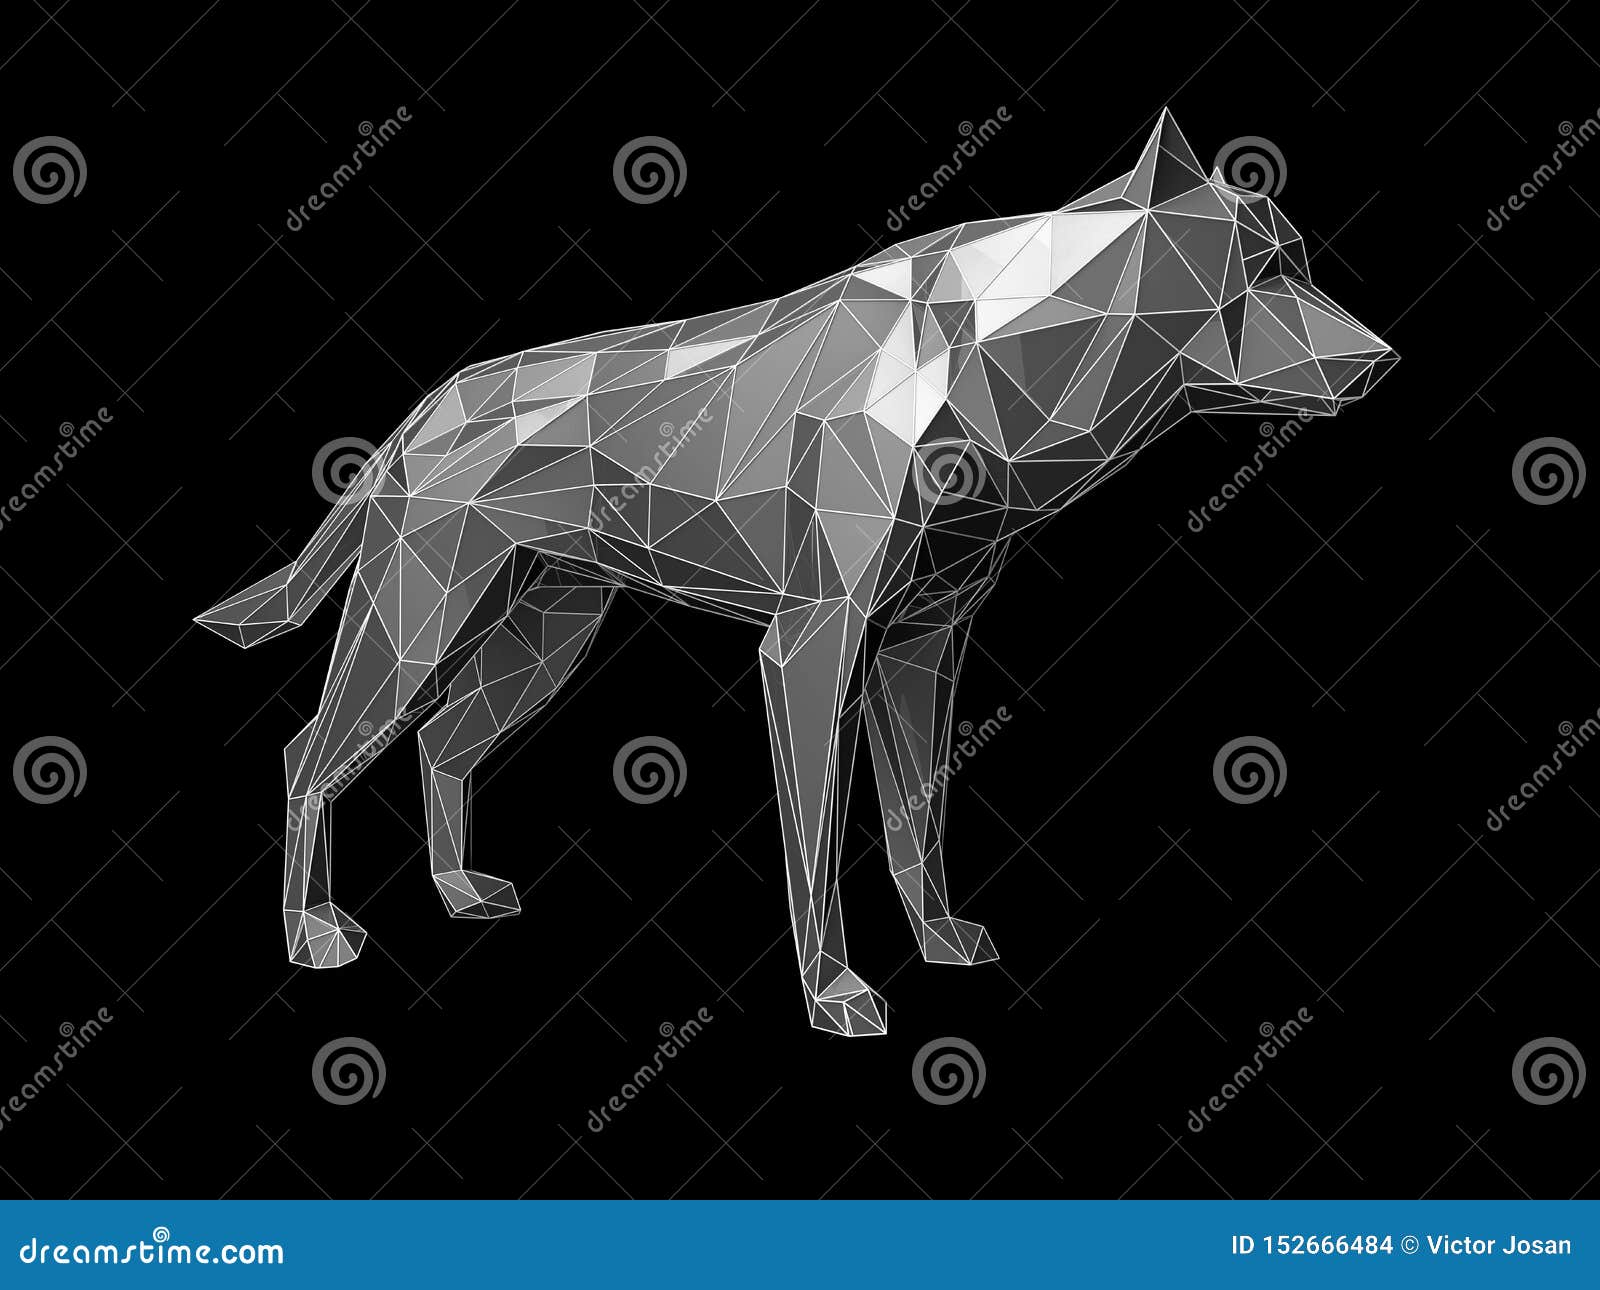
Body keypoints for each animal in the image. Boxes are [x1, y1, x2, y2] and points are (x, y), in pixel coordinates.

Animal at [199, 113, 1394, 1035]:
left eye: (1303, 255)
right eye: (1265, 274)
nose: (1384, 360)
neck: (1008, 356)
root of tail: (425, 404)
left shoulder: (923, 647)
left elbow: (916, 828)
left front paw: (938, 941)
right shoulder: (813, 646)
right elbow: (817, 851)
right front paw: (834, 997)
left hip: (544, 634)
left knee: (441, 747)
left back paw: (455, 891)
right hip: (420, 623)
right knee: (312, 751)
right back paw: (313, 934)